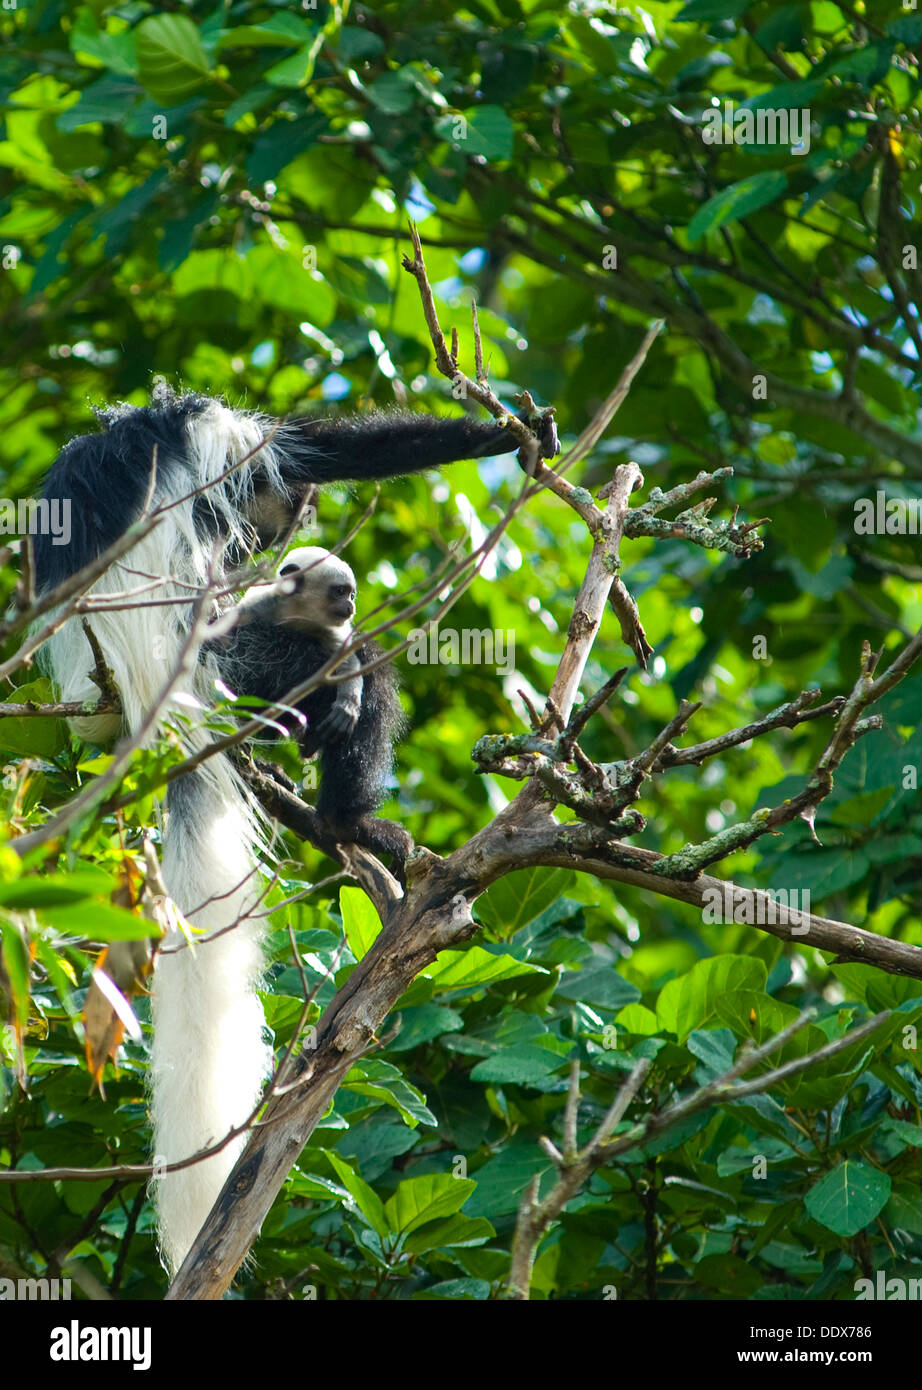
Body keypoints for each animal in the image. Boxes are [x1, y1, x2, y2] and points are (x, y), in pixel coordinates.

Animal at [207, 547, 412, 874]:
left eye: (351, 593)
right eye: (340, 592)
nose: (351, 604)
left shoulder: (333, 632)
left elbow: (349, 664)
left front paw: (348, 703)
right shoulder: (261, 609)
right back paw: (345, 821)